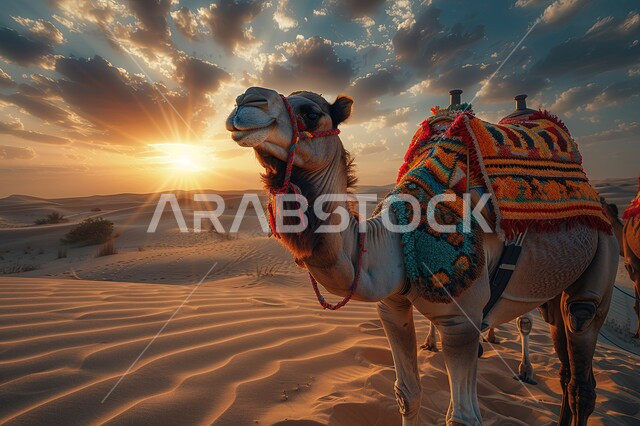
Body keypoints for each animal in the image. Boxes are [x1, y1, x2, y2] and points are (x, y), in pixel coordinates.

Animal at [226, 87, 618, 426]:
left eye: (311, 112)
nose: (246, 100)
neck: (395, 241)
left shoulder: (462, 321)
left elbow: (462, 418)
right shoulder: (391, 307)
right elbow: (407, 394)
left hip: (603, 255)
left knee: (582, 350)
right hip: (555, 287)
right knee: (565, 367)